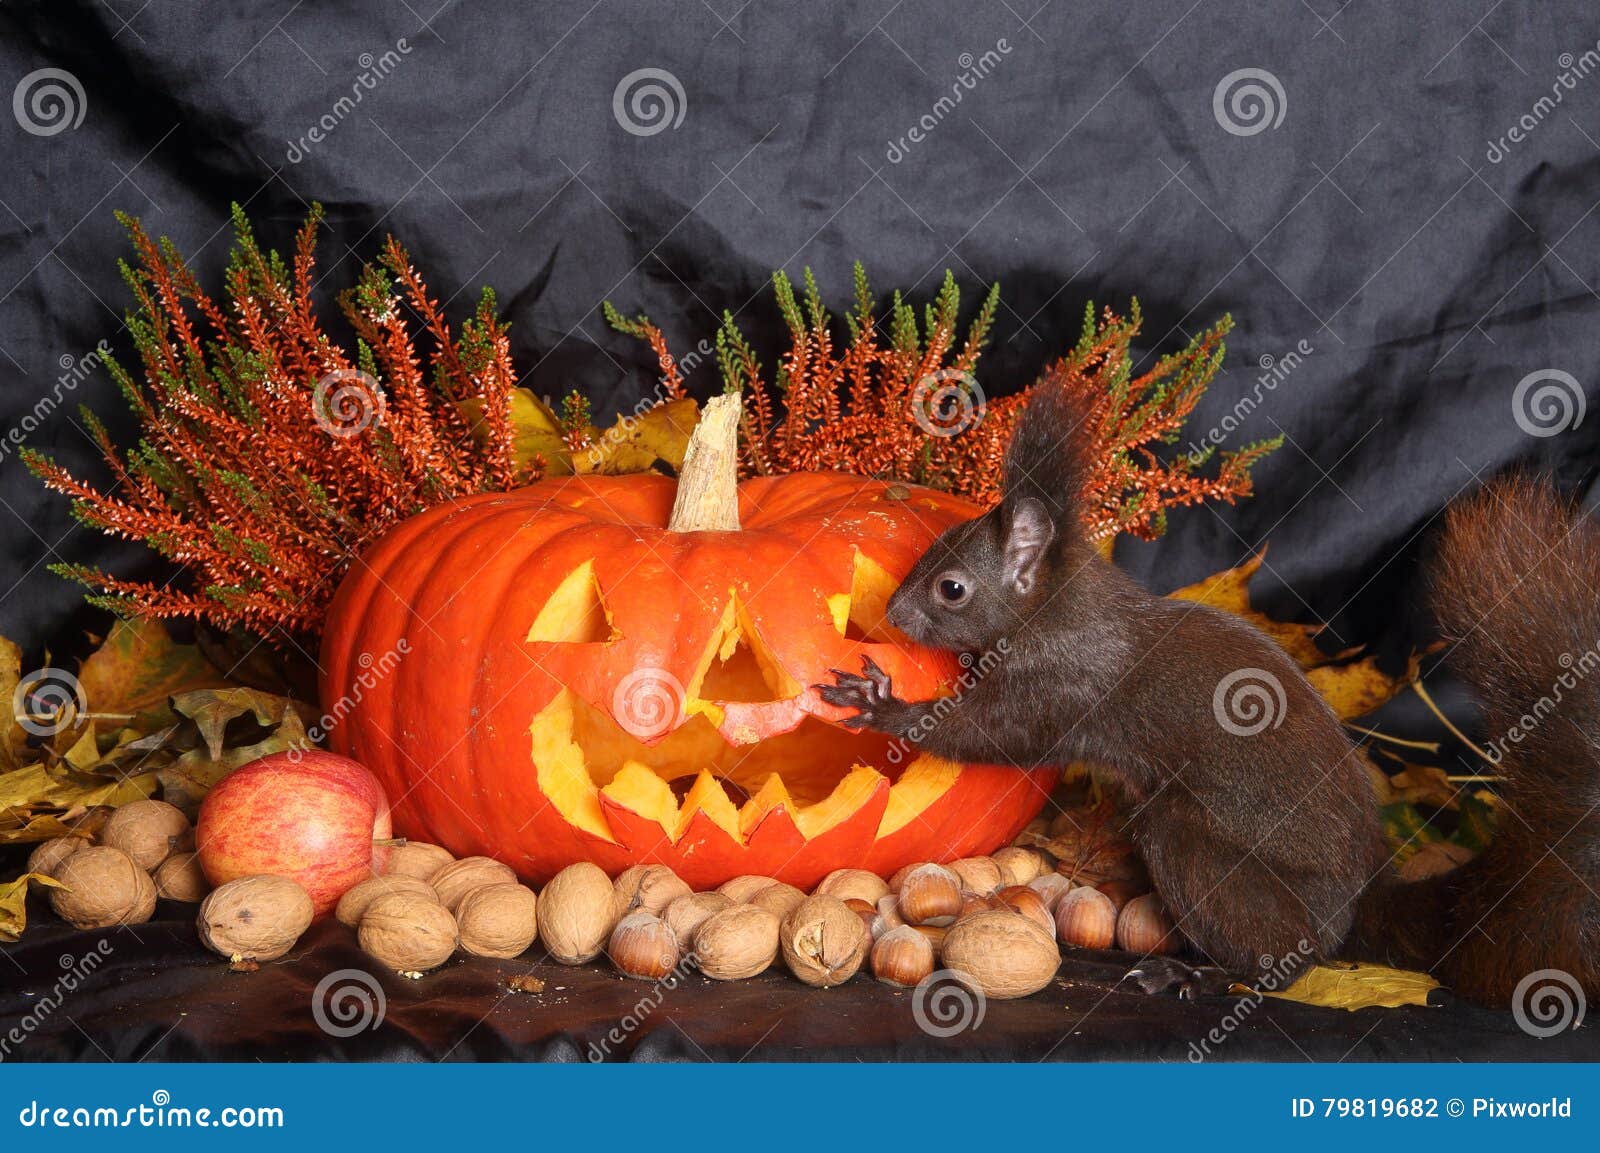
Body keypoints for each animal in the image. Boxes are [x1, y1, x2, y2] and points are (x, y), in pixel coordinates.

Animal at [818, 380, 1599, 1007]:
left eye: (952, 589)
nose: (894, 614)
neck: (1056, 606)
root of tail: (1353, 912)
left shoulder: (1063, 683)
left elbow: (987, 735)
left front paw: (880, 703)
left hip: (1202, 854)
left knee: (1278, 960)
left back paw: (1199, 974)